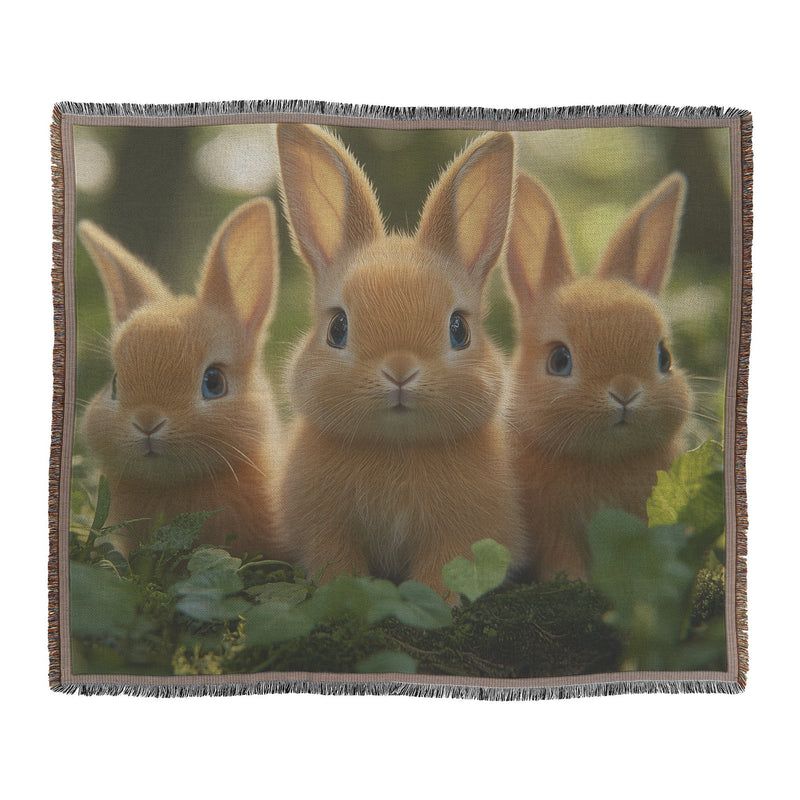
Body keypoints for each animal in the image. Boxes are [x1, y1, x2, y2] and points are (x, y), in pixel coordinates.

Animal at [278, 123, 528, 600]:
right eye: (337, 328)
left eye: (459, 330)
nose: (399, 372)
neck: (396, 447)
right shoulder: (326, 531)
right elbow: (336, 563)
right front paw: (345, 591)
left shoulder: (458, 533)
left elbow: (443, 570)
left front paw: (437, 599)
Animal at [510, 170, 692, 580]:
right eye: (559, 360)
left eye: (664, 357)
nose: (625, 392)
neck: (603, 459)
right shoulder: (554, 528)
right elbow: (563, 558)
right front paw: (572, 581)